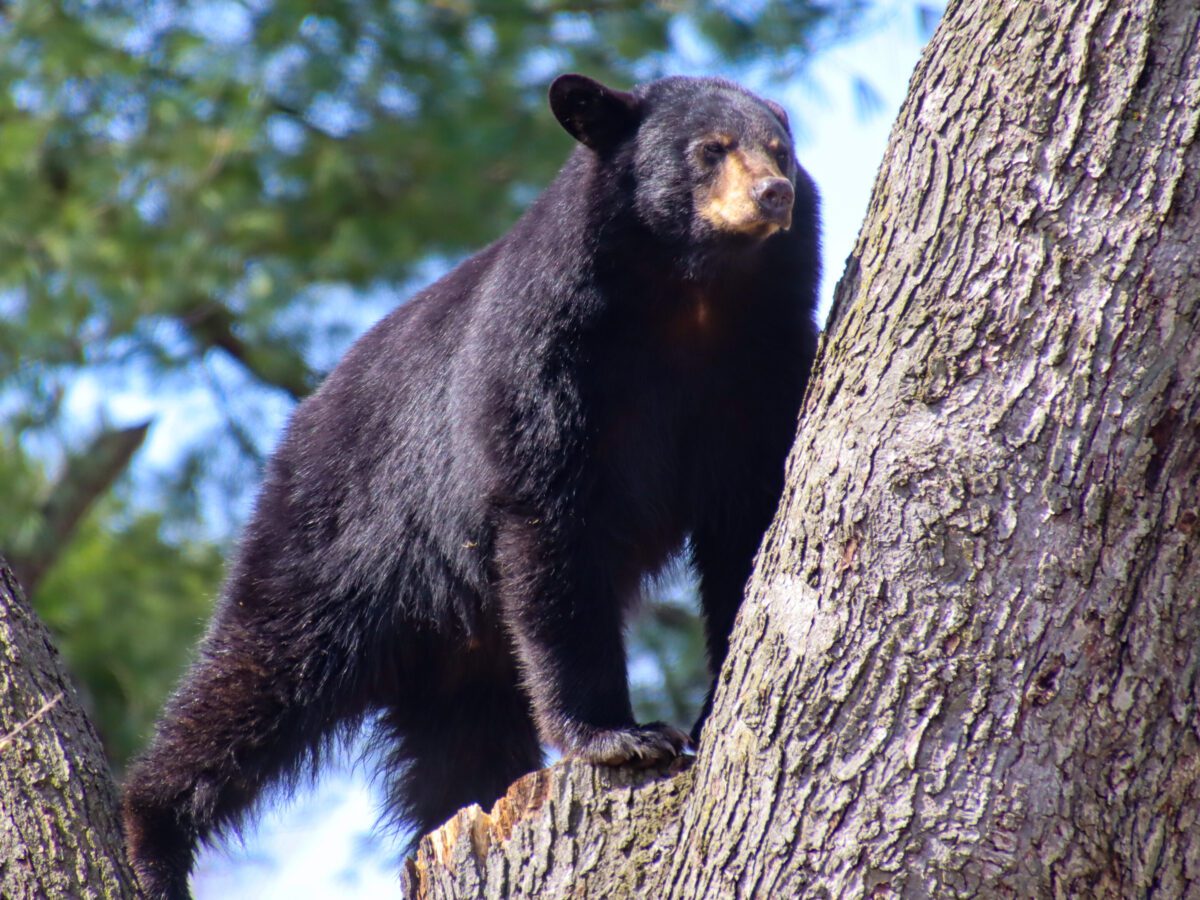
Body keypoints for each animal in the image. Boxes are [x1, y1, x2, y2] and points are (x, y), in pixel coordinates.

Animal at [122, 73, 820, 898]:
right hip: (336, 539)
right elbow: (551, 529)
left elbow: (745, 522)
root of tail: (300, 427)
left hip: (458, 656)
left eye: (780, 148)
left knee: (459, 751)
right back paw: (152, 836)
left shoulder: (759, 364)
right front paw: (622, 735)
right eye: (709, 150)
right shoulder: (544, 359)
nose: (775, 193)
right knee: (258, 676)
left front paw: (711, 699)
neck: (691, 296)